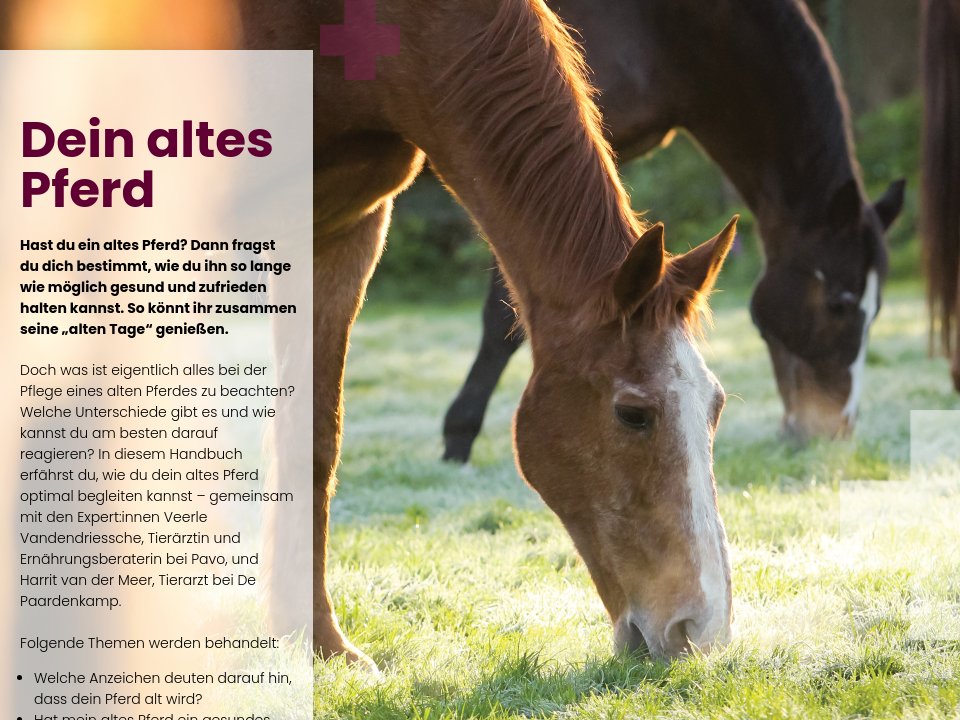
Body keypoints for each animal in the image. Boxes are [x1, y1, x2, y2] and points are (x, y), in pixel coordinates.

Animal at [241, 0, 738, 668]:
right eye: (634, 414)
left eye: (715, 407)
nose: (700, 631)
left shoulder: (346, 230)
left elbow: (317, 440)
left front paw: (320, 644)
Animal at [442, 0, 906, 463]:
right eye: (837, 305)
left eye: (878, 309)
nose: (832, 431)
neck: (670, 29)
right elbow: (503, 316)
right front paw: (458, 439)